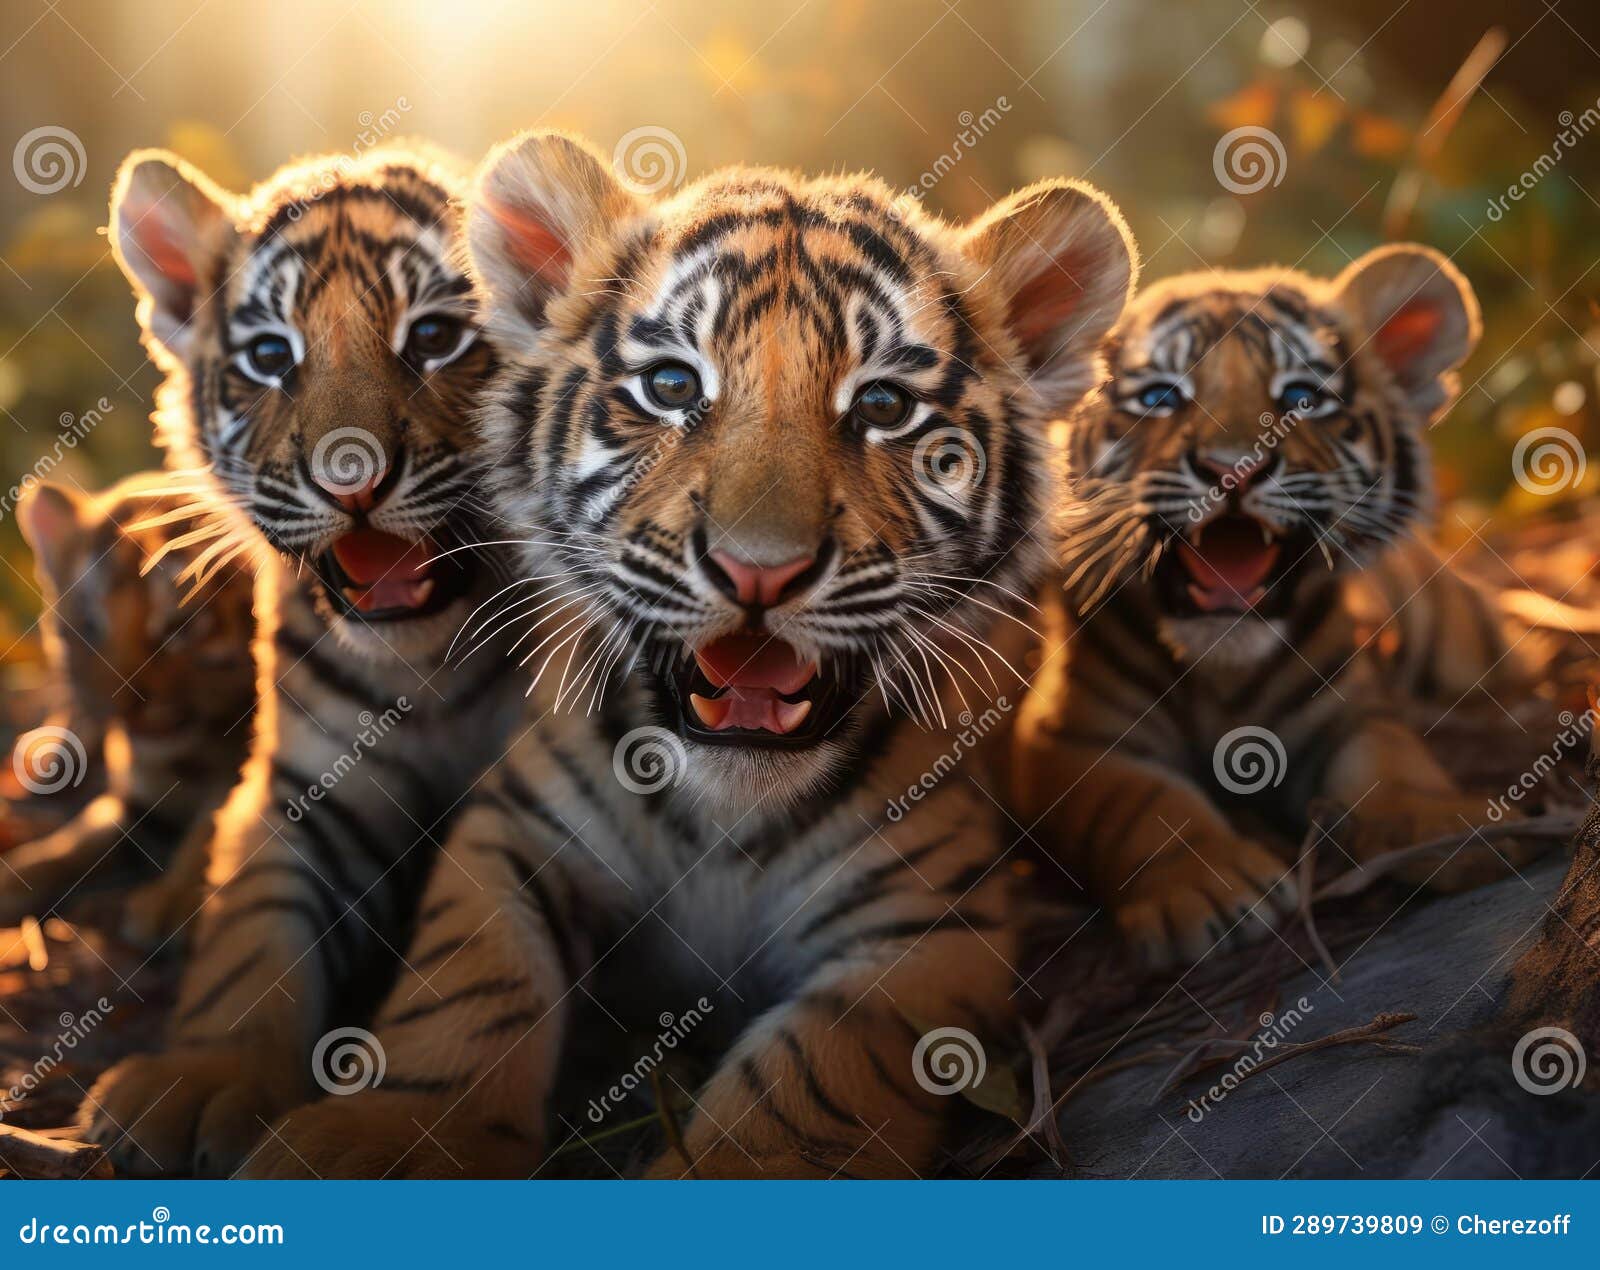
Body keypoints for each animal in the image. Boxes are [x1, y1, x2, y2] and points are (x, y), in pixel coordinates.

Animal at [1, 473, 255, 942]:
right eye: (89, 625)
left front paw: (171, 906)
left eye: (182, 626)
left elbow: (212, 827)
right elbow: (83, 836)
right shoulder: (135, 797)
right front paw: (18, 878)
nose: (132, 708)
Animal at [79, 146, 523, 1177]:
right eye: (271, 356)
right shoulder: (303, 794)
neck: (424, 670)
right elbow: (250, 937)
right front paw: (198, 1081)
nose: (350, 479)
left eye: (435, 336)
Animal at [232, 131, 1138, 1179]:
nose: (758, 570)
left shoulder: (929, 929)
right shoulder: (512, 833)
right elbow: (471, 982)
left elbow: (811, 1075)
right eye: (672, 387)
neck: (725, 817)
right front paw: (389, 1139)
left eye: (882, 405)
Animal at [1009, 246, 1537, 971]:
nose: (1234, 467)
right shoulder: (1062, 738)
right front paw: (1207, 888)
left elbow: (1392, 760)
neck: (1222, 672)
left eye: (1302, 398)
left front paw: (1448, 824)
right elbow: (1133, 801)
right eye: (1159, 397)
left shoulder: (1348, 709)